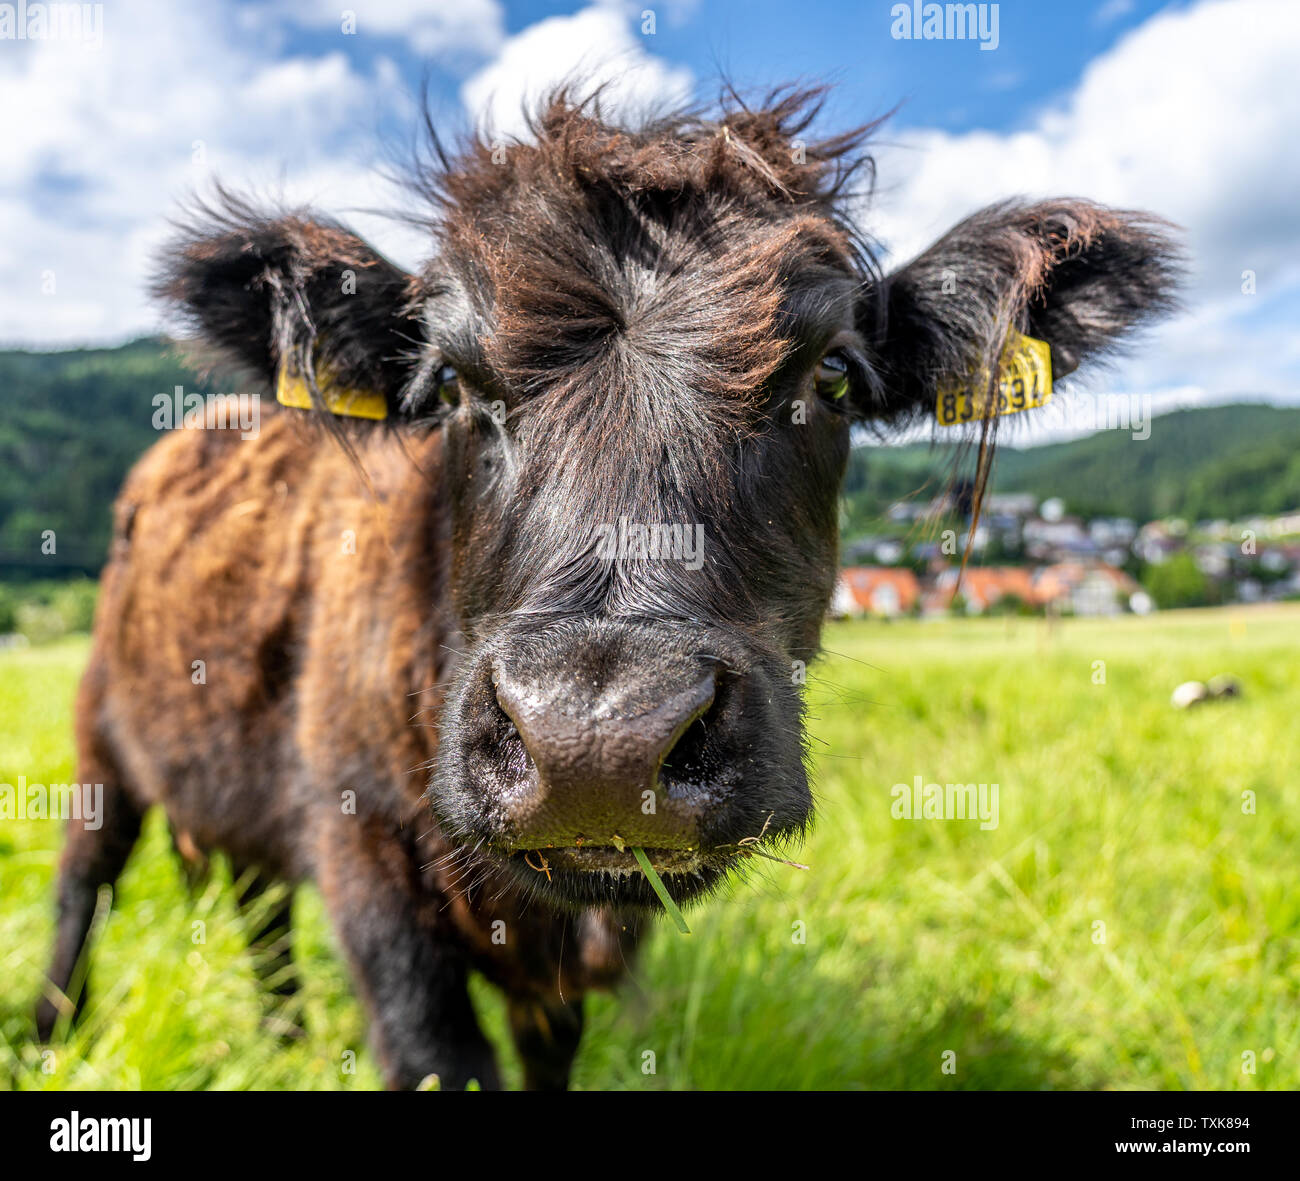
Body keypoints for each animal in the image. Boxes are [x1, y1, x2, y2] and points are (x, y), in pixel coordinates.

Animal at [36, 88, 1179, 1089]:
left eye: (834, 375)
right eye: (449, 385)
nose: (595, 741)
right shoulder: (367, 864)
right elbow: (439, 1057)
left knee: (255, 900)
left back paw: (279, 1038)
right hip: (99, 733)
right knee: (85, 882)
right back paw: (50, 1039)